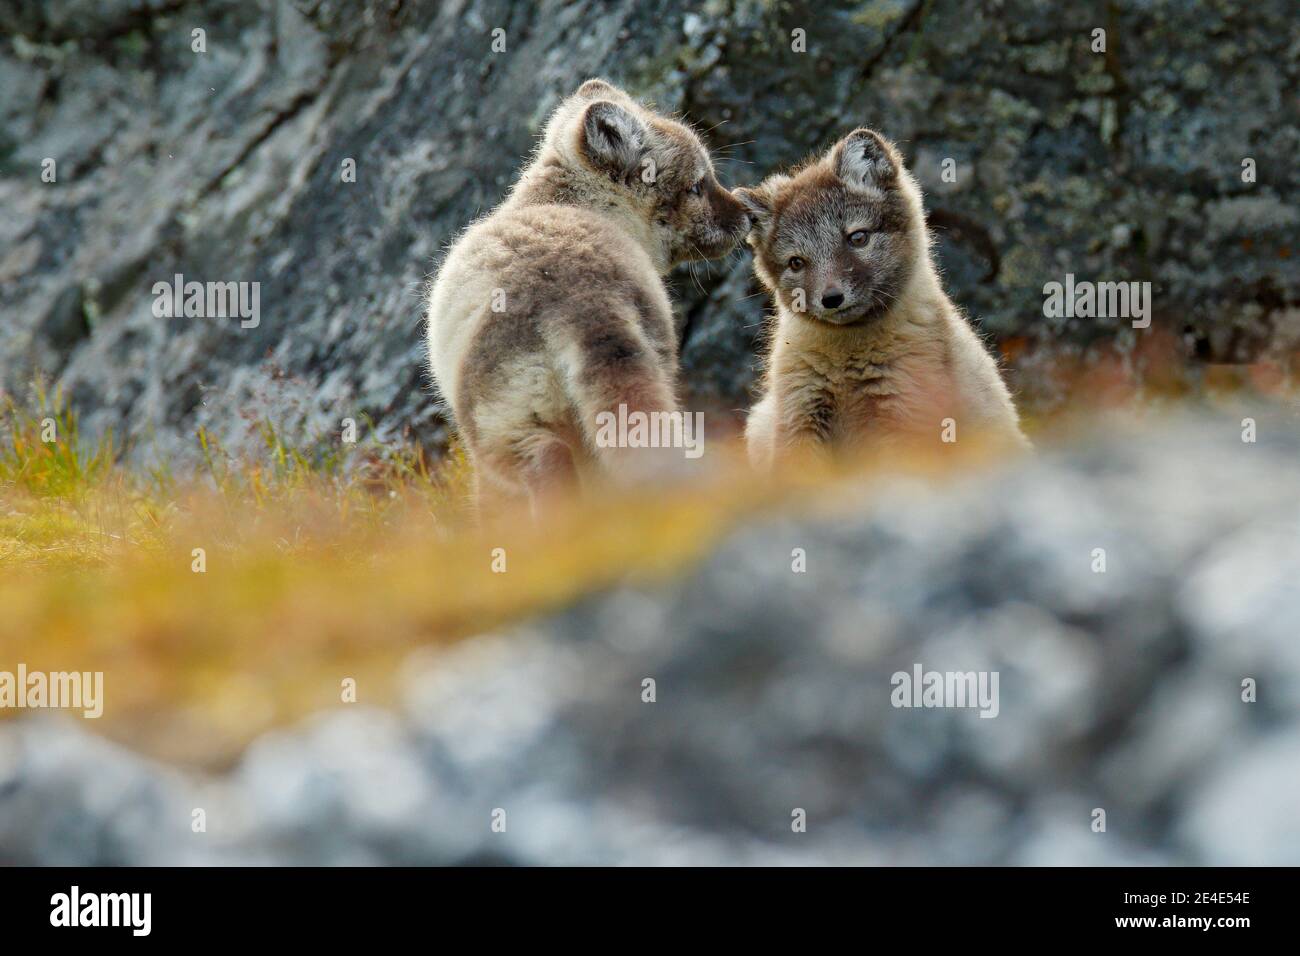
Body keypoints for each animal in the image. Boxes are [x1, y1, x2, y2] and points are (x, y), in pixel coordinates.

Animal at [734, 128, 1029, 469]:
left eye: (858, 237)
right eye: (796, 262)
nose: (831, 298)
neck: (845, 362)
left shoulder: (903, 414)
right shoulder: (799, 412)